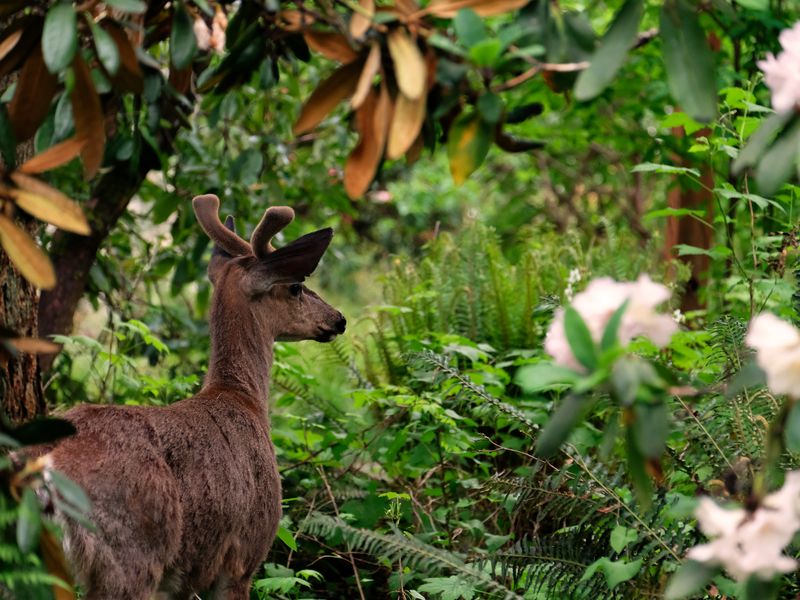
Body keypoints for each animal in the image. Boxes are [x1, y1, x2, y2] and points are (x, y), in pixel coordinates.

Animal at [40, 194, 346, 599]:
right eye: (296, 286)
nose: (339, 319)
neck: (243, 398)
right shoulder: (243, 556)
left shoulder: (183, 579)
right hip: (131, 556)